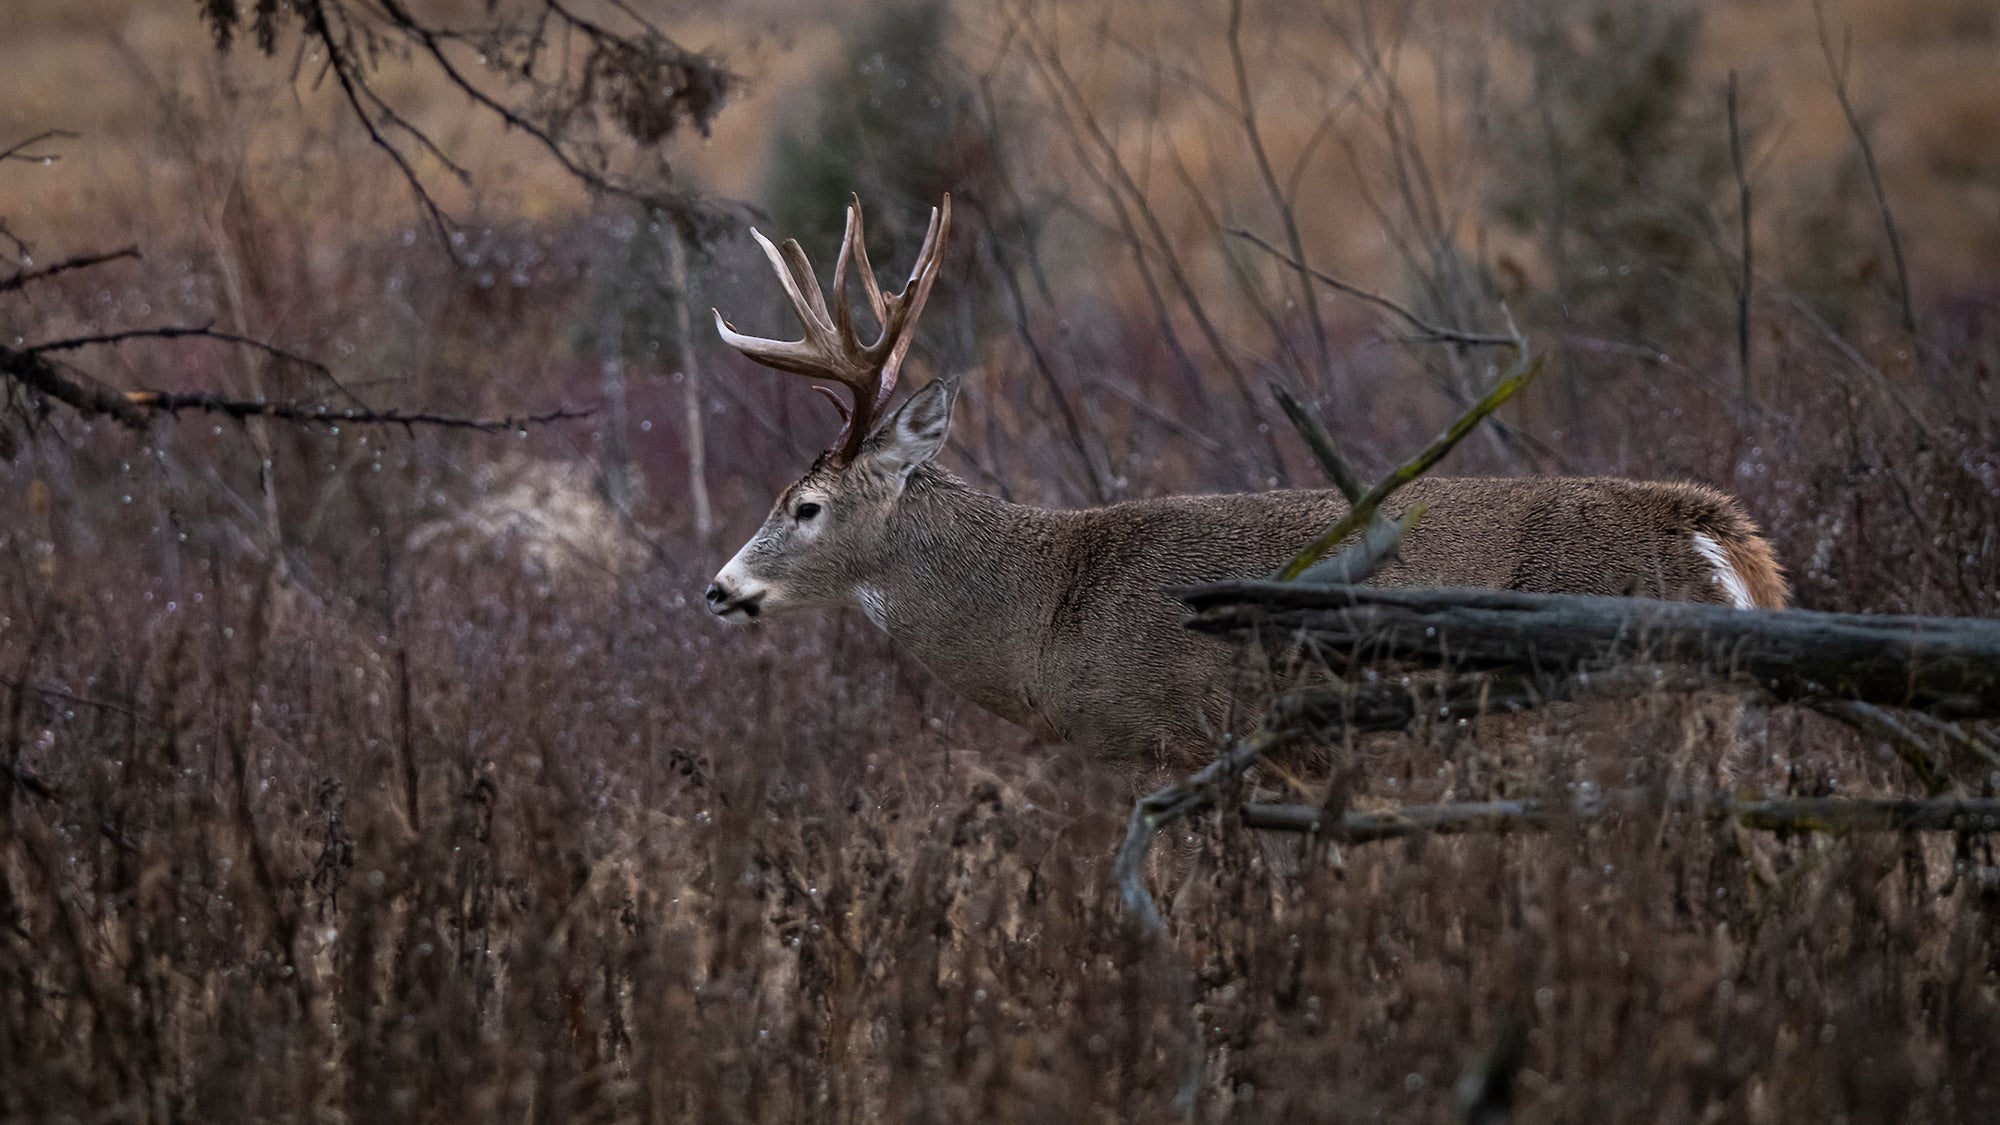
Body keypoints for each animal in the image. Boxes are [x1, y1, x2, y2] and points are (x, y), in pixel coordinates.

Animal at [704, 195, 1789, 775]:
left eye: (803, 506)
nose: (717, 589)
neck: (1047, 614)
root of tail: (1716, 546)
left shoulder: (1183, 739)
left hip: (1613, 718)